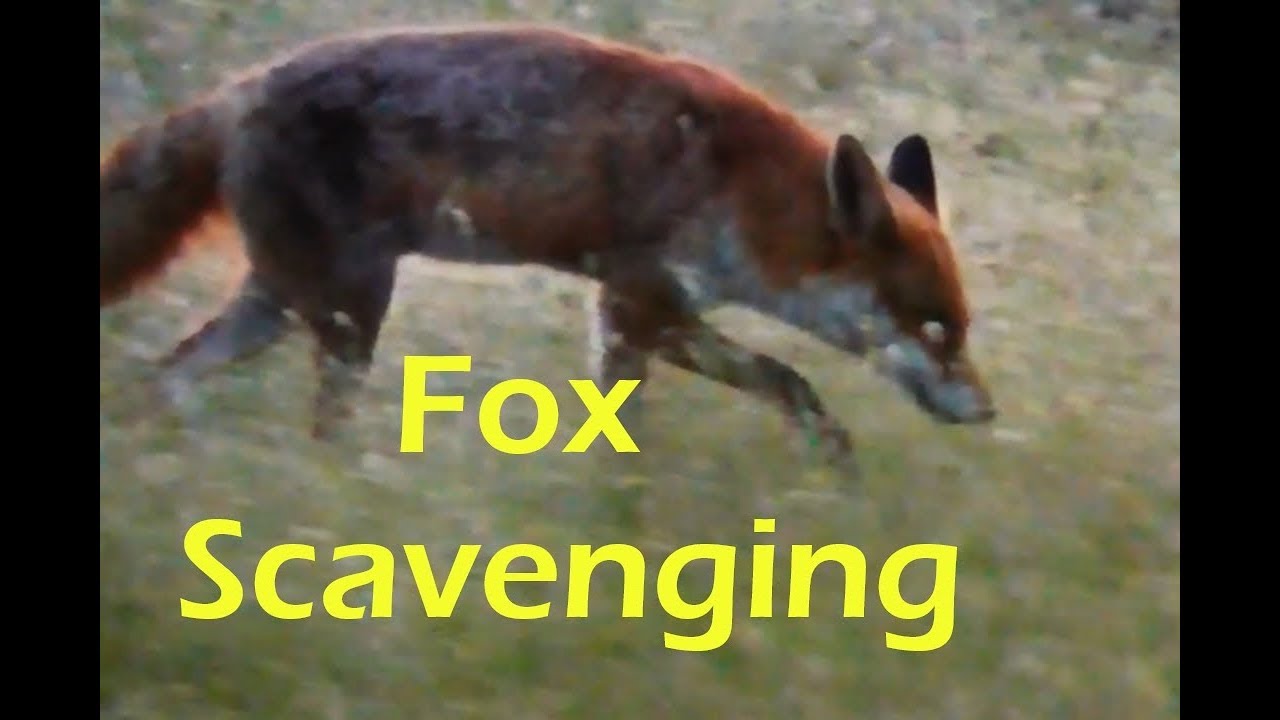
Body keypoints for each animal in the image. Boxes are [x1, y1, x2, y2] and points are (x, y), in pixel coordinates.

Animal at [100, 23, 996, 468]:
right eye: (935, 329)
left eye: (963, 327)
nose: (988, 414)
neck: (744, 191)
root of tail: (240, 89)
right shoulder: (644, 305)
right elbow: (793, 379)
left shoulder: (628, 320)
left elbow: (633, 431)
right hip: (349, 313)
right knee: (316, 429)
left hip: (281, 304)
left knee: (164, 374)